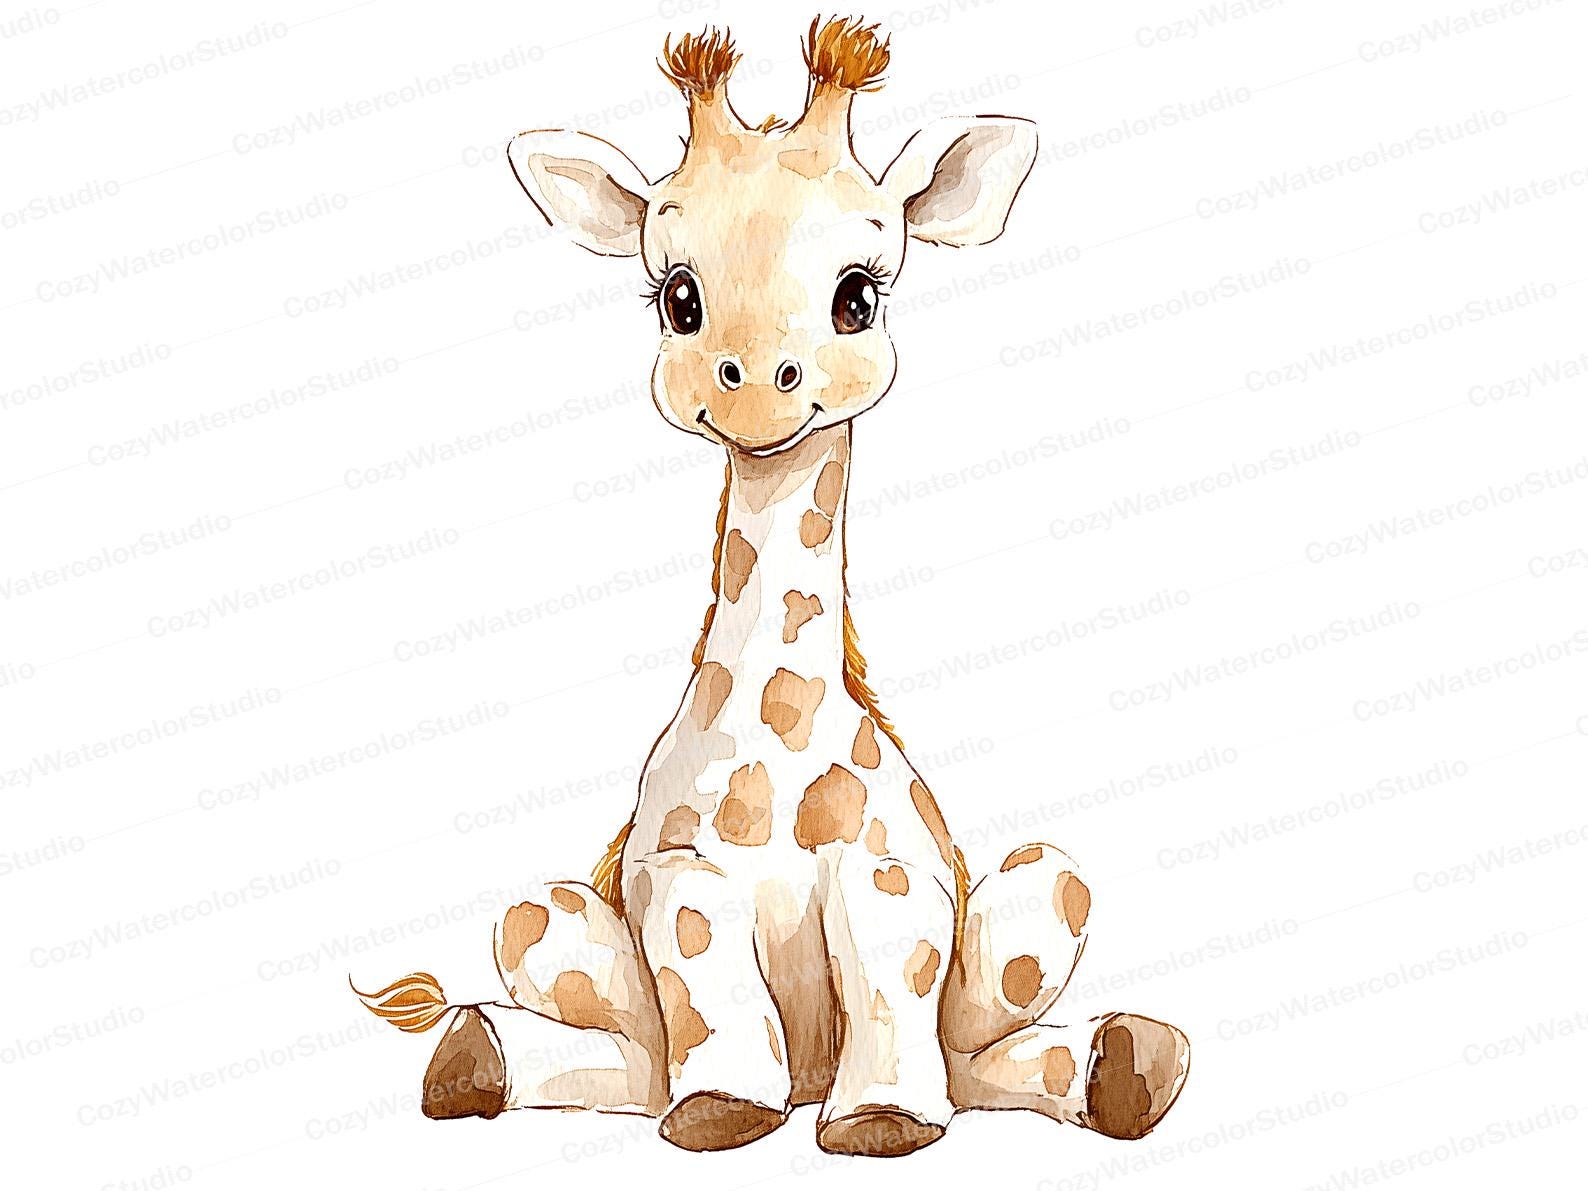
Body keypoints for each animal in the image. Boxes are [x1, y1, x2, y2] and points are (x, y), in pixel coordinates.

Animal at [353, 18, 1189, 1156]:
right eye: (679, 296)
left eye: (858, 294)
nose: (752, 384)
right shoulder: (683, 880)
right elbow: (704, 1012)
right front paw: (721, 1113)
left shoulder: (890, 876)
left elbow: (895, 993)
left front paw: (883, 1120)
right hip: (544, 922)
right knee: (612, 1029)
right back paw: (468, 1055)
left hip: (1041, 887)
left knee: (984, 1032)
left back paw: (1135, 1061)